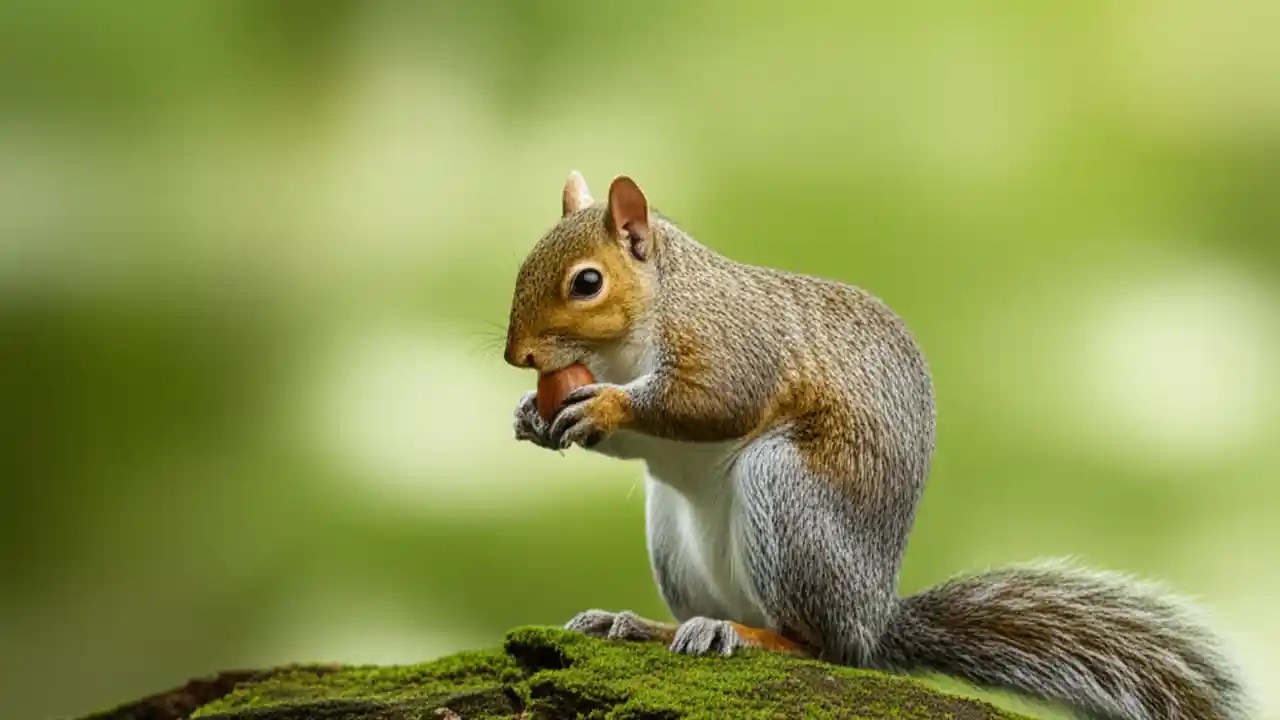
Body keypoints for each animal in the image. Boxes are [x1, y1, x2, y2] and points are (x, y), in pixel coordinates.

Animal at [503, 171, 1249, 720]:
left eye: (588, 282)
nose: (517, 357)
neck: (633, 336)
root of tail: (872, 617)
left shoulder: (732, 343)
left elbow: (712, 402)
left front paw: (603, 403)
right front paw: (531, 416)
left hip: (787, 499)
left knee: (819, 647)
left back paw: (743, 636)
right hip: (674, 535)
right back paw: (647, 626)